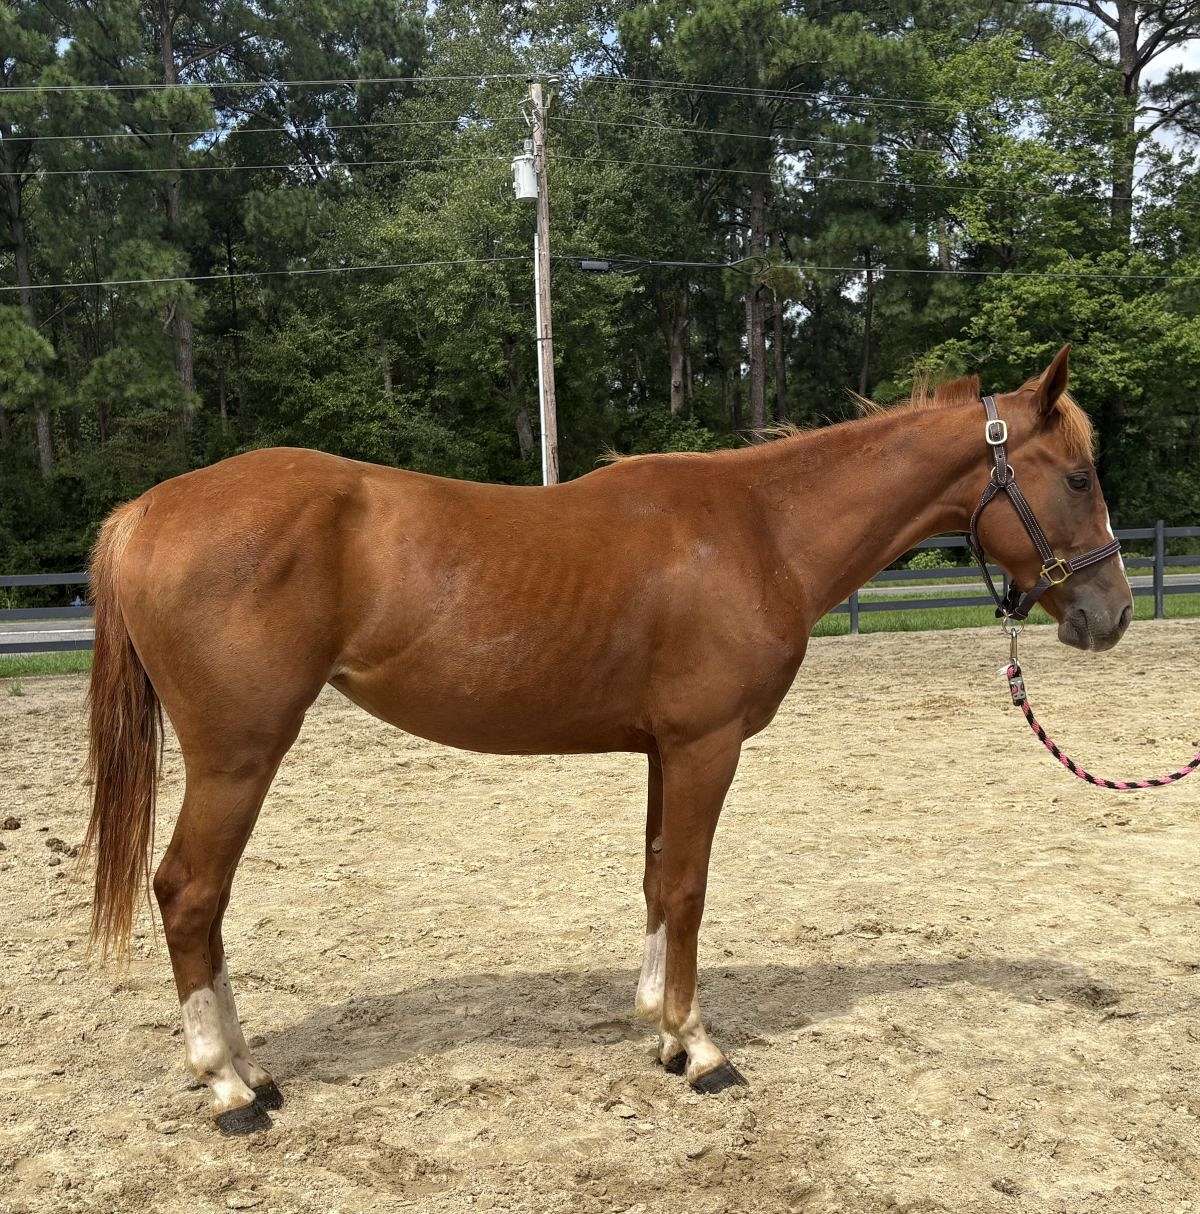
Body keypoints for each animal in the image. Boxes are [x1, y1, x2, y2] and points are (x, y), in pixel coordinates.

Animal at [83, 346, 1132, 1134]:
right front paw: (699, 1049)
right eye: (1079, 475)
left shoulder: (668, 750)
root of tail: (144, 511)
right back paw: (227, 1085)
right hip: (238, 758)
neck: (762, 527)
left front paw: (658, 1029)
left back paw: (248, 1071)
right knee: (190, 893)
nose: (1111, 613)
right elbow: (691, 886)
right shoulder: (709, 744)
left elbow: (659, 877)